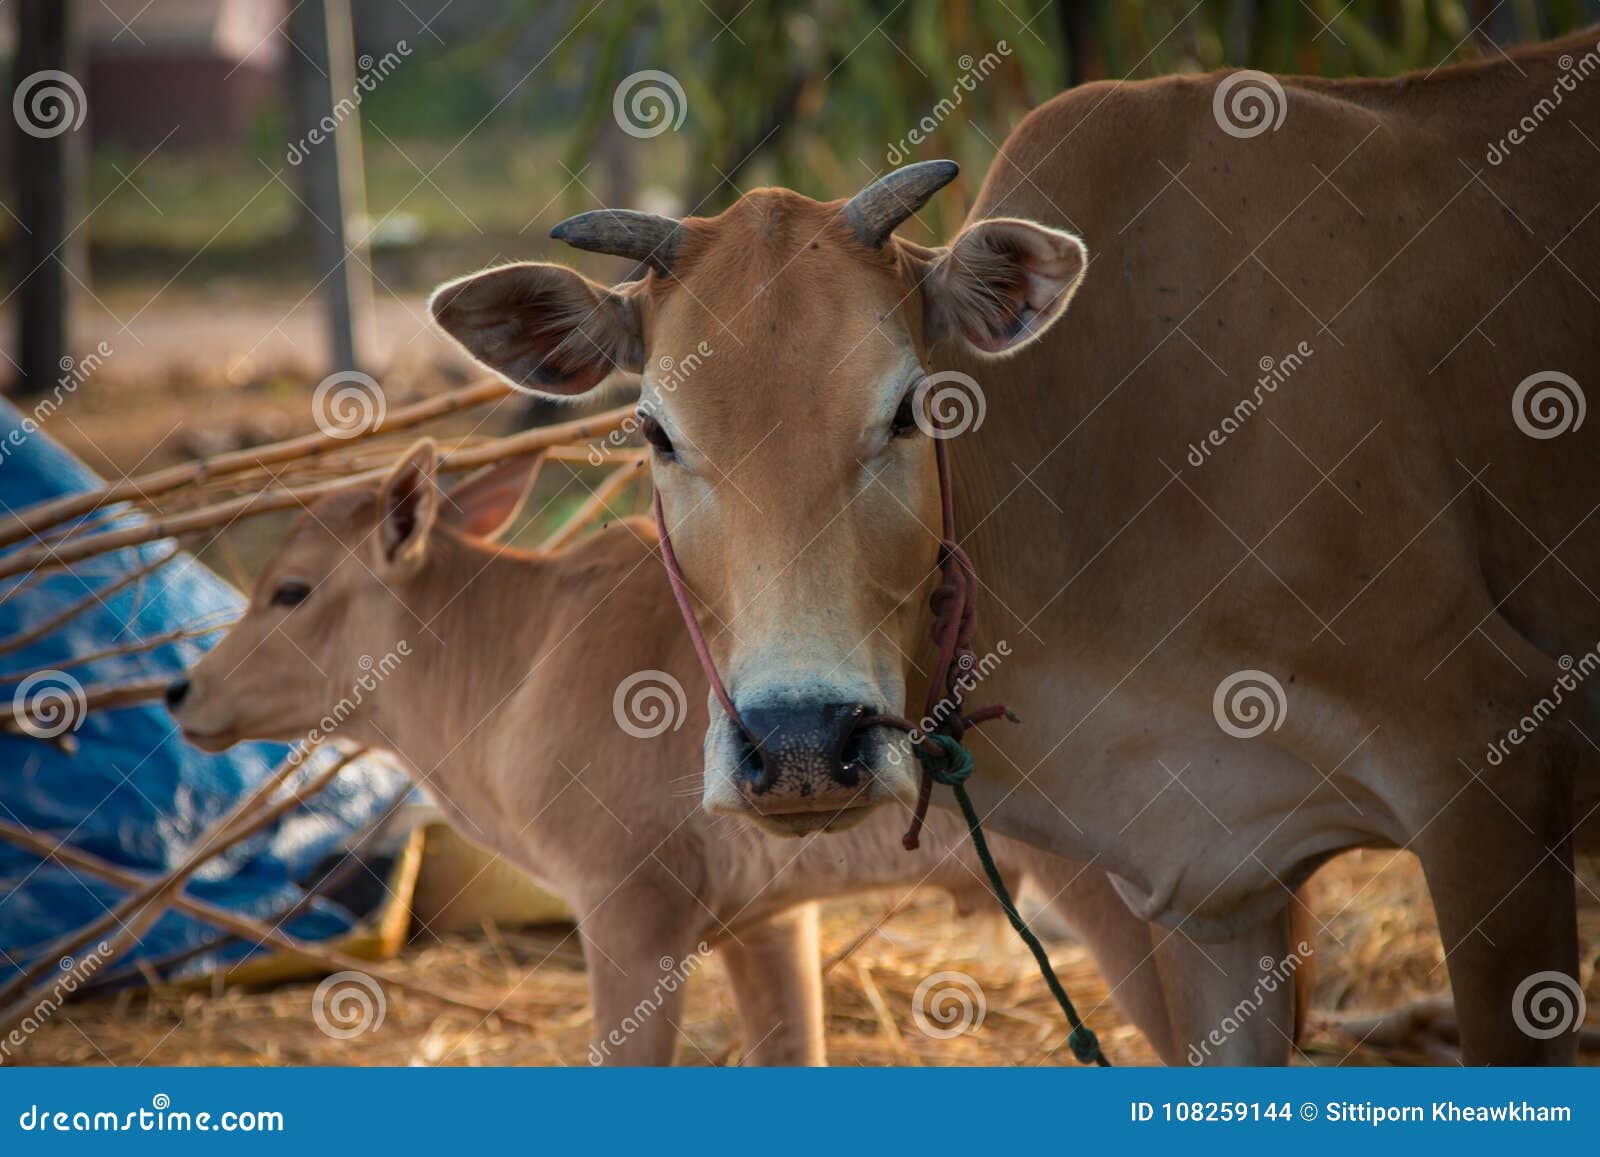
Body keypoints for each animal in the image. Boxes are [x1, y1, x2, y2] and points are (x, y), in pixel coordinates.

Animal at [167, 443, 1306, 1064]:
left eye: (293, 589)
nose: (183, 691)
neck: (515, 655)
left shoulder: (627, 907)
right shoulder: (768, 917)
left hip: (1129, 901)